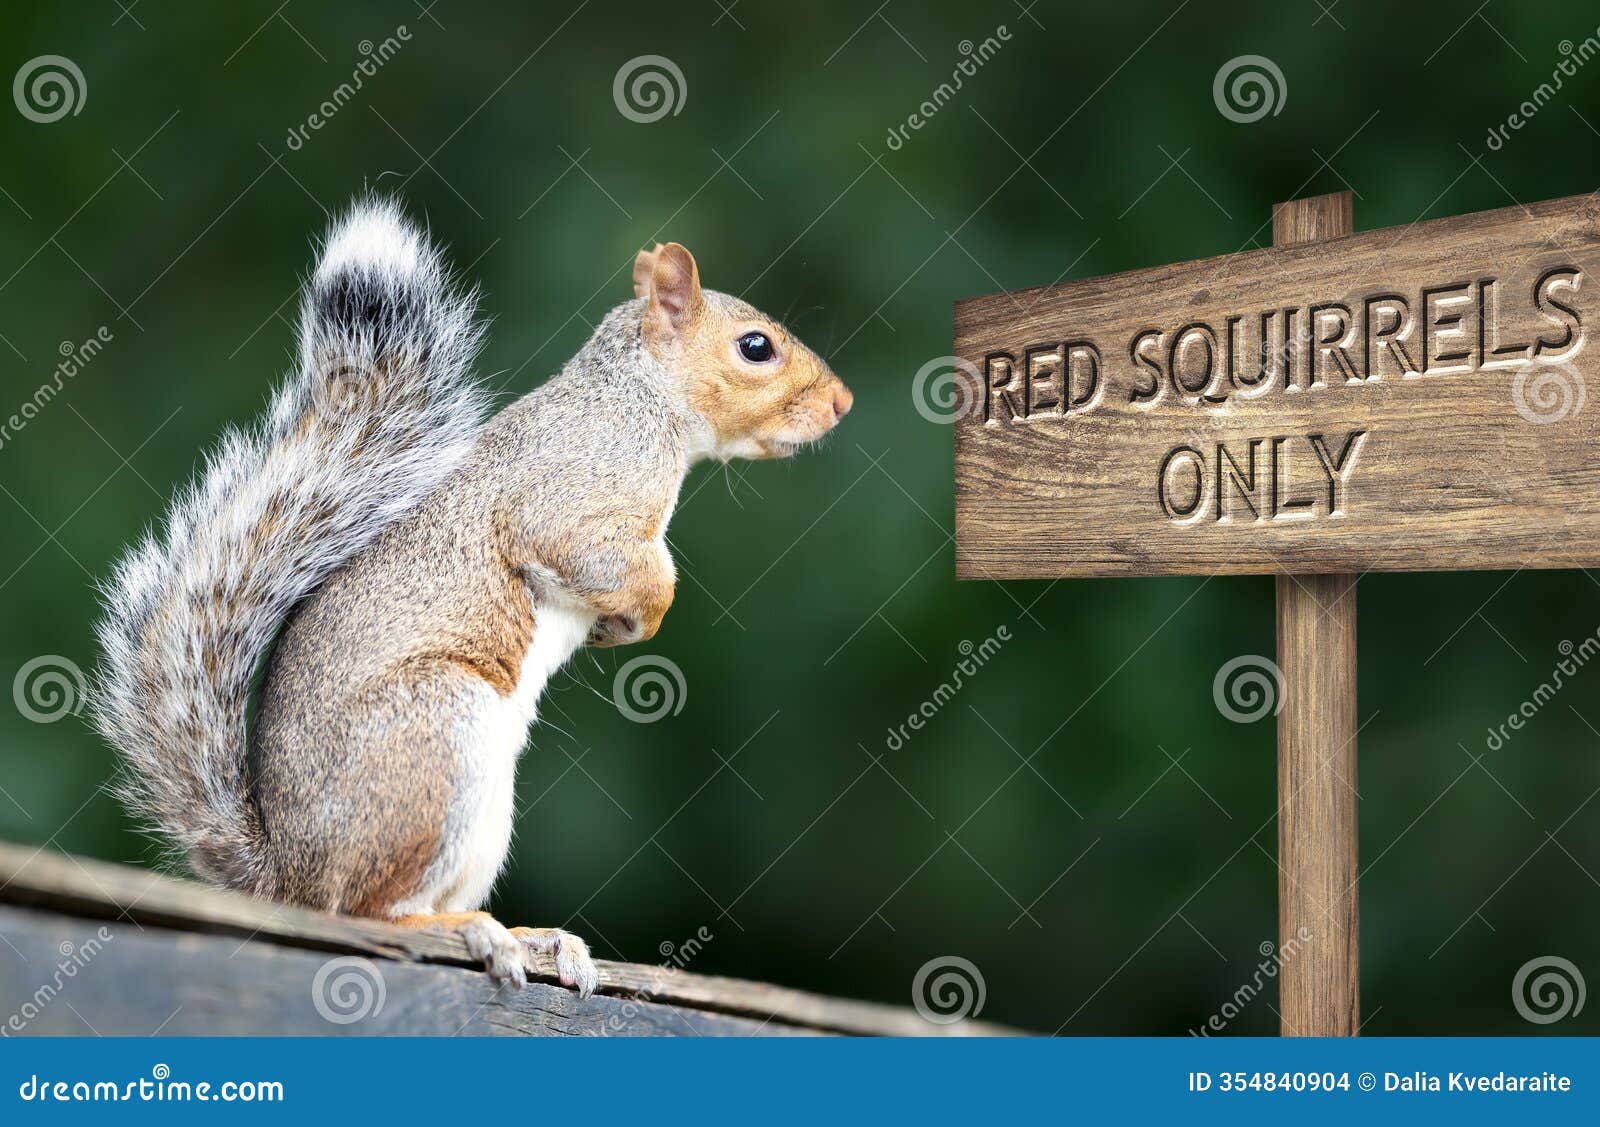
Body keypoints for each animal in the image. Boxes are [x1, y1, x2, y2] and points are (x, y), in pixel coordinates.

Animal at [92, 198, 852, 996]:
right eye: (755, 347)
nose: (842, 402)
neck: (640, 399)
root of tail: (289, 875)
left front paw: (617, 627)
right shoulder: (572, 500)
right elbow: (616, 559)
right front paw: (645, 613)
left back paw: (531, 935)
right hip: (435, 735)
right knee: (365, 908)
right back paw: (468, 930)